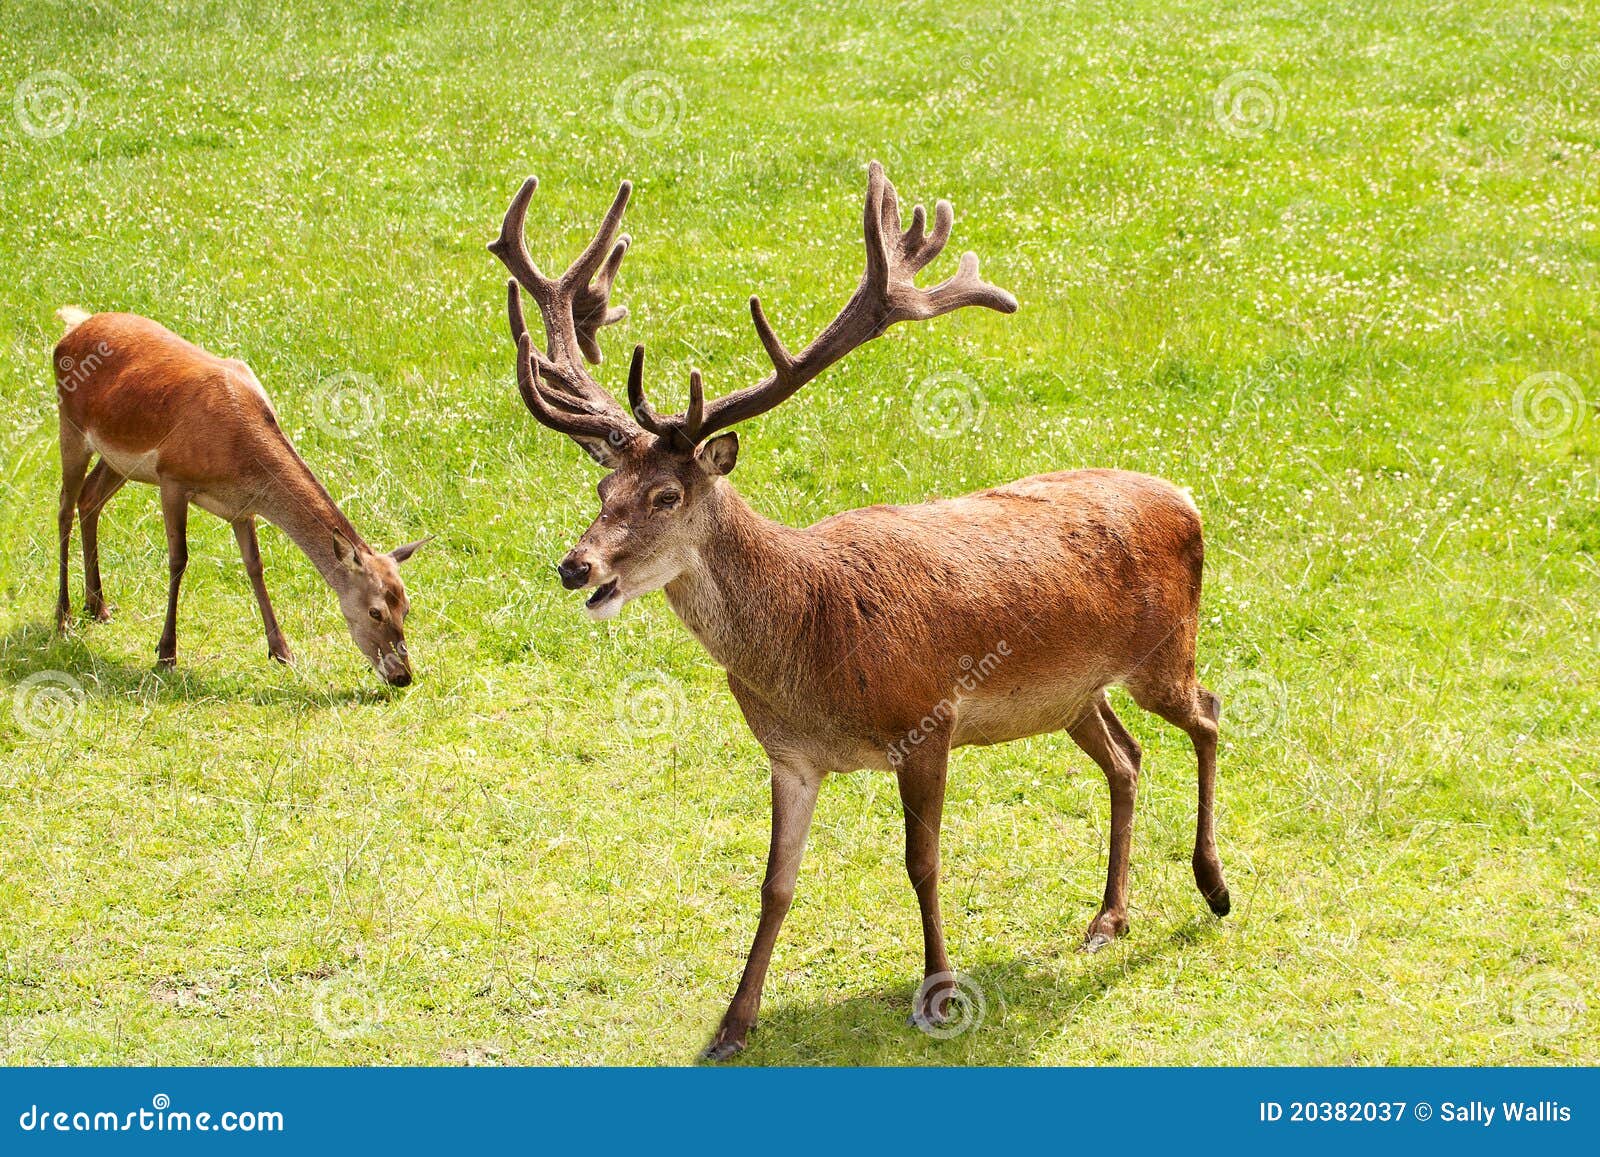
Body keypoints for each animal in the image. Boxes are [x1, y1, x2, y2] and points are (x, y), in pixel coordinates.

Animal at [51, 308, 425, 686]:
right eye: (375, 611)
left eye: (406, 607)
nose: (402, 675)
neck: (238, 455)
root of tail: (73, 326)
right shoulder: (171, 477)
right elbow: (178, 559)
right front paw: (166, 653)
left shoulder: (242, 508)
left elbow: (255, 565)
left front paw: (282, 651)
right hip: (70, 424)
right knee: (65, 506)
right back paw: (63, 617)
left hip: (117, 461)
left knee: (90, 499)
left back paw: (97, 606)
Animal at [488, 161, 1230, 1061]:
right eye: (603, 487)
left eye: (666, 495)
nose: (575, 565)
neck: (814, 644)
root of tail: (1185, 496)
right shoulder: (790, 755)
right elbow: (775, 883)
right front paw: (733, 1024)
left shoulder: (928, 719)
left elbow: (923, 862)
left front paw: (939, 993)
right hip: (1074, 695)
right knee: (1125, 757)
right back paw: (1107, 917)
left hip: (1166, 649)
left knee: (1209, 713)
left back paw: (1214, 886)